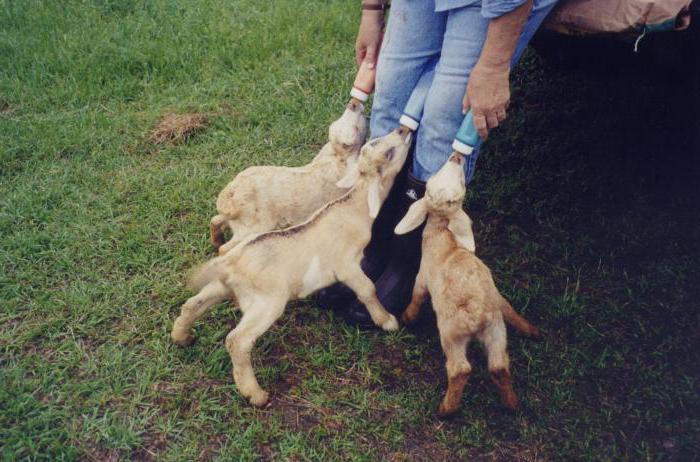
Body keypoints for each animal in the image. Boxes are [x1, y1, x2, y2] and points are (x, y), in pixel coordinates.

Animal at [173, 128, 412, 406]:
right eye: (388, 152)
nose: (404, 130)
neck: (354, 209)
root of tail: (231, 263)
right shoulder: (346, 264)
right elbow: (367, 289)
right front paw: (386, 321)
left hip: (222, 286)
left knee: (193, 304)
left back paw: (182, 337)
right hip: (267, 301)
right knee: (237, 340)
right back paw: (255, 394)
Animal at [211, 99, 370, 254]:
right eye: (355, 129)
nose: (353, 103)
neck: (336, 156)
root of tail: (230, 194)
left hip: (239, 222)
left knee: (215, 220)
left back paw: (217, 241)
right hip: (252, 226)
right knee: (226, 247)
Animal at [394, 153, 540, 416]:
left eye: (460, 187)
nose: (456, 156)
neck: (445, 234)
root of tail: (478, 315)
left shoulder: (422, 277)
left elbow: (416, 297)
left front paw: (407, 318)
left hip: (452, 333)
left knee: (460, 369)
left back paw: (446, 409)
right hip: (496, 329)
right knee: (499, 366)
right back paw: (512, 403)